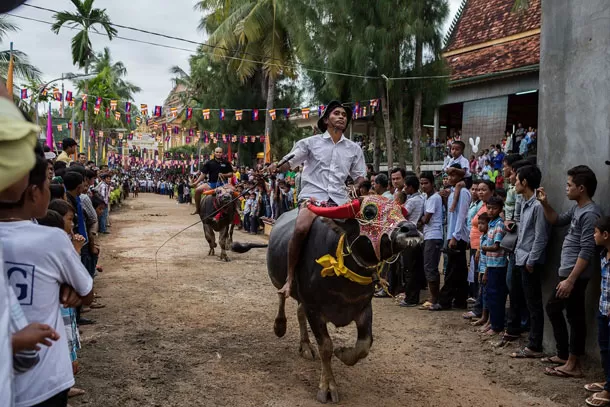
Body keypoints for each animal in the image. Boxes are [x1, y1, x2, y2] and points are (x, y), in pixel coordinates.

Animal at [266, 196, 422, 404]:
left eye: (400, 210)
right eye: (369, 212)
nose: (410, 229)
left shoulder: (364, 308)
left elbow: (364, 345)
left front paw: (343, 354)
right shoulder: (314, 309)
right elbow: (326, 347)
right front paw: (327, 387)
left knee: (299, 312)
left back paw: (305, 346)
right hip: (282, 280)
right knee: (282, 295)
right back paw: (280, 325)